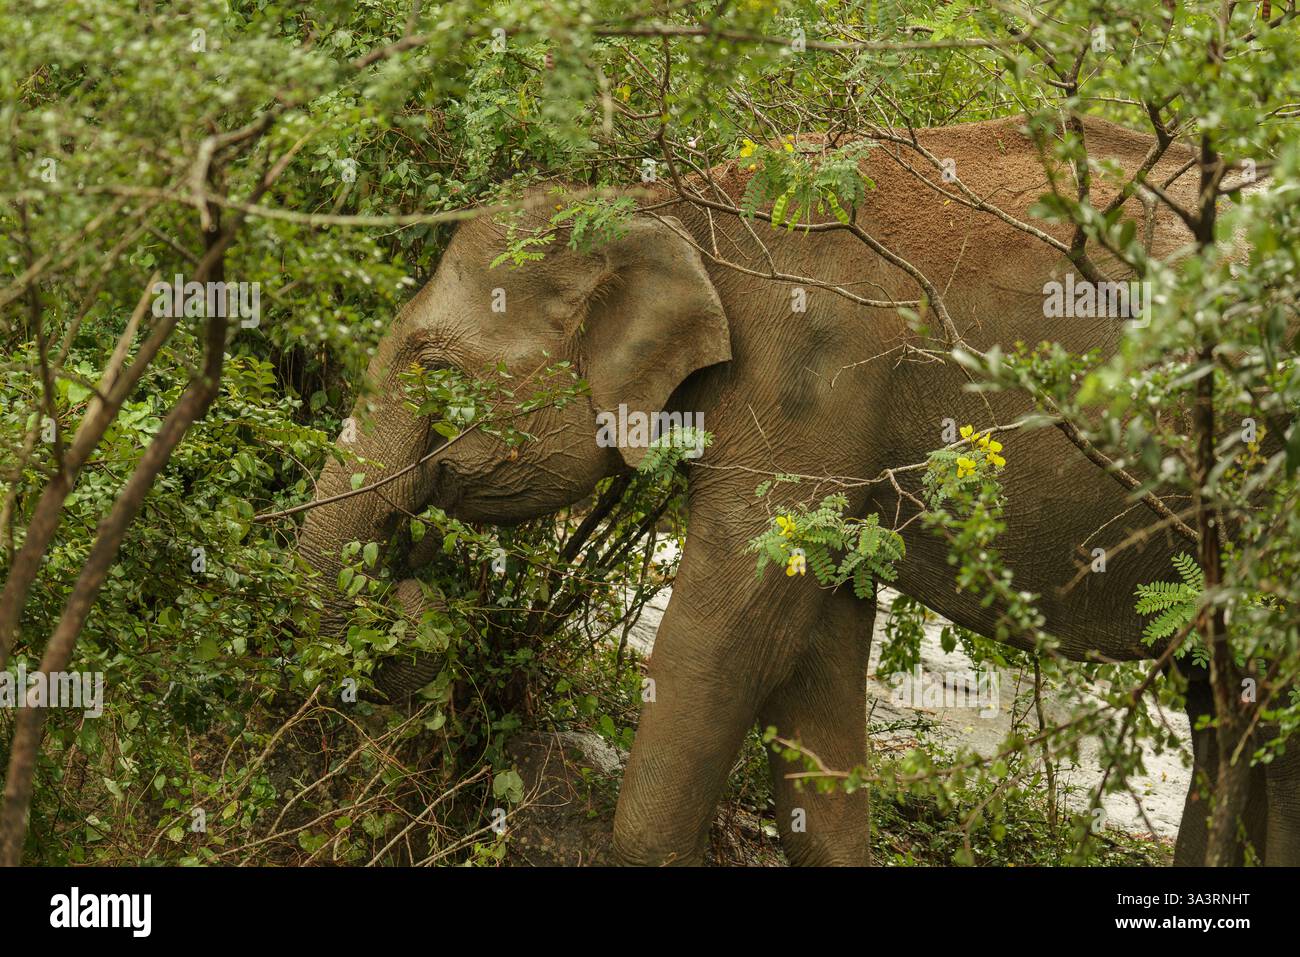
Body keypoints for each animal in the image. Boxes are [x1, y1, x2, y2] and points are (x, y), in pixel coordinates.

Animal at [298, 114, 1299, 865]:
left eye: (437, 371)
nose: (418, 592)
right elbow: (816, 643)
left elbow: (732, 634)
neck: (676, 208)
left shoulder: (808, 373)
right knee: (1231, 704)